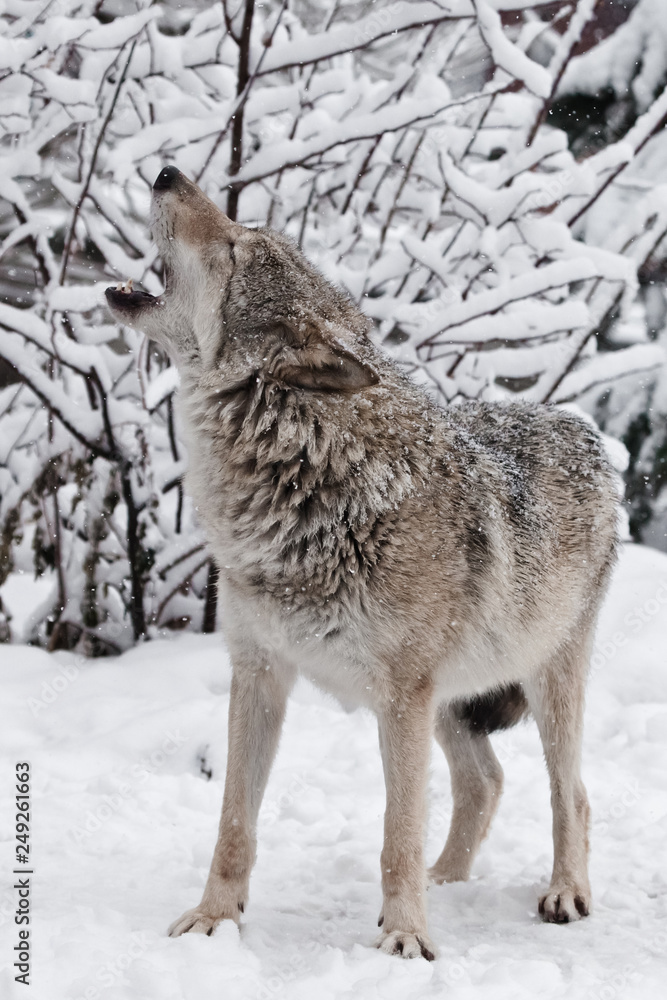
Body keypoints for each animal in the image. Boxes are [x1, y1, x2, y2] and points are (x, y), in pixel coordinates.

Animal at [105, 166, 619, 961]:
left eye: (236, 249)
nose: (166, 172)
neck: (308, 477)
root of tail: (582, 429)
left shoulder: (400, 699)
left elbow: (395, 833)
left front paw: (406, 939)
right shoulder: (259, 674)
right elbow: (232, 825)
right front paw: (214, 921)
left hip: (541, 685)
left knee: (574, 795)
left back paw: (564, 893)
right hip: (451, 703)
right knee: (485, 783)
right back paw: (448, 882)